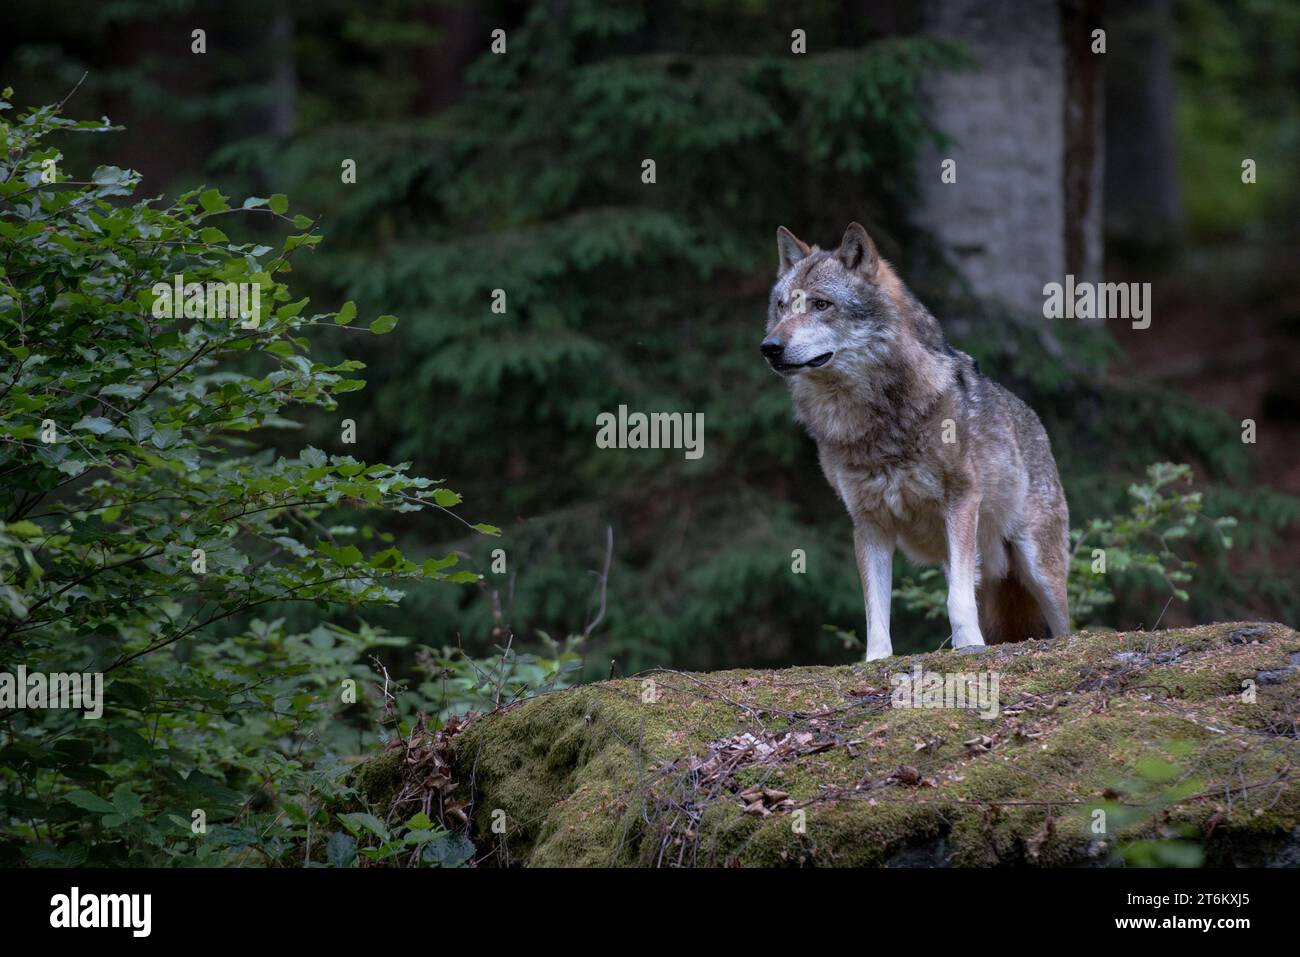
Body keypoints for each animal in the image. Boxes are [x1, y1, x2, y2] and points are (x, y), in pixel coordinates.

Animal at [762, 223, 1070, 661]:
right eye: (783, 306)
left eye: (821, 305)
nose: (769, 347)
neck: (872, 421)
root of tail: (1034, 420)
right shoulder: (868, 523)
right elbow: (875, 608)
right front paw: (876, 660)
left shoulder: (962, 500)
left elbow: (956, 600)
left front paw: (969, 646)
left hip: (1038, 568)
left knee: (1065, 625)